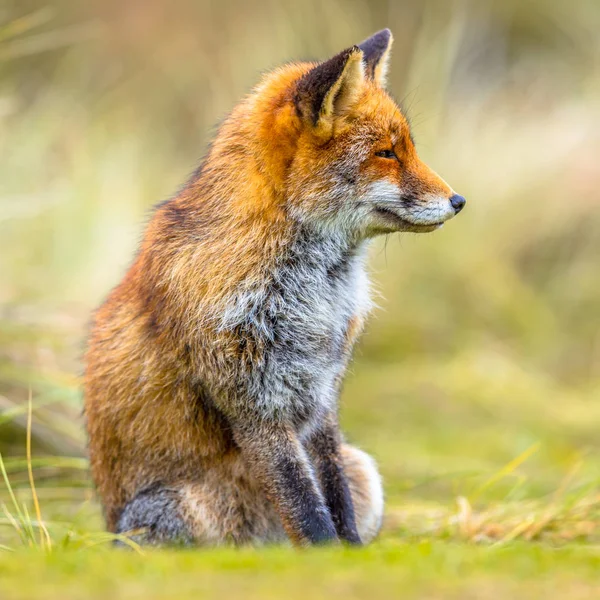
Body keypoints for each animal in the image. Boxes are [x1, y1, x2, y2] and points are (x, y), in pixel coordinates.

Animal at [85, 29, 464, 548]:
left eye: (407, 147)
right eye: (387, 153)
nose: (459, 201)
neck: (312, 292)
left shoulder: (322, 393)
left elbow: (332, 494)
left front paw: (349, 552)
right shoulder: (253, 398)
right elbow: (305, 505)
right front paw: (325, 555)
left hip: (364, 471)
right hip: (176, 511)